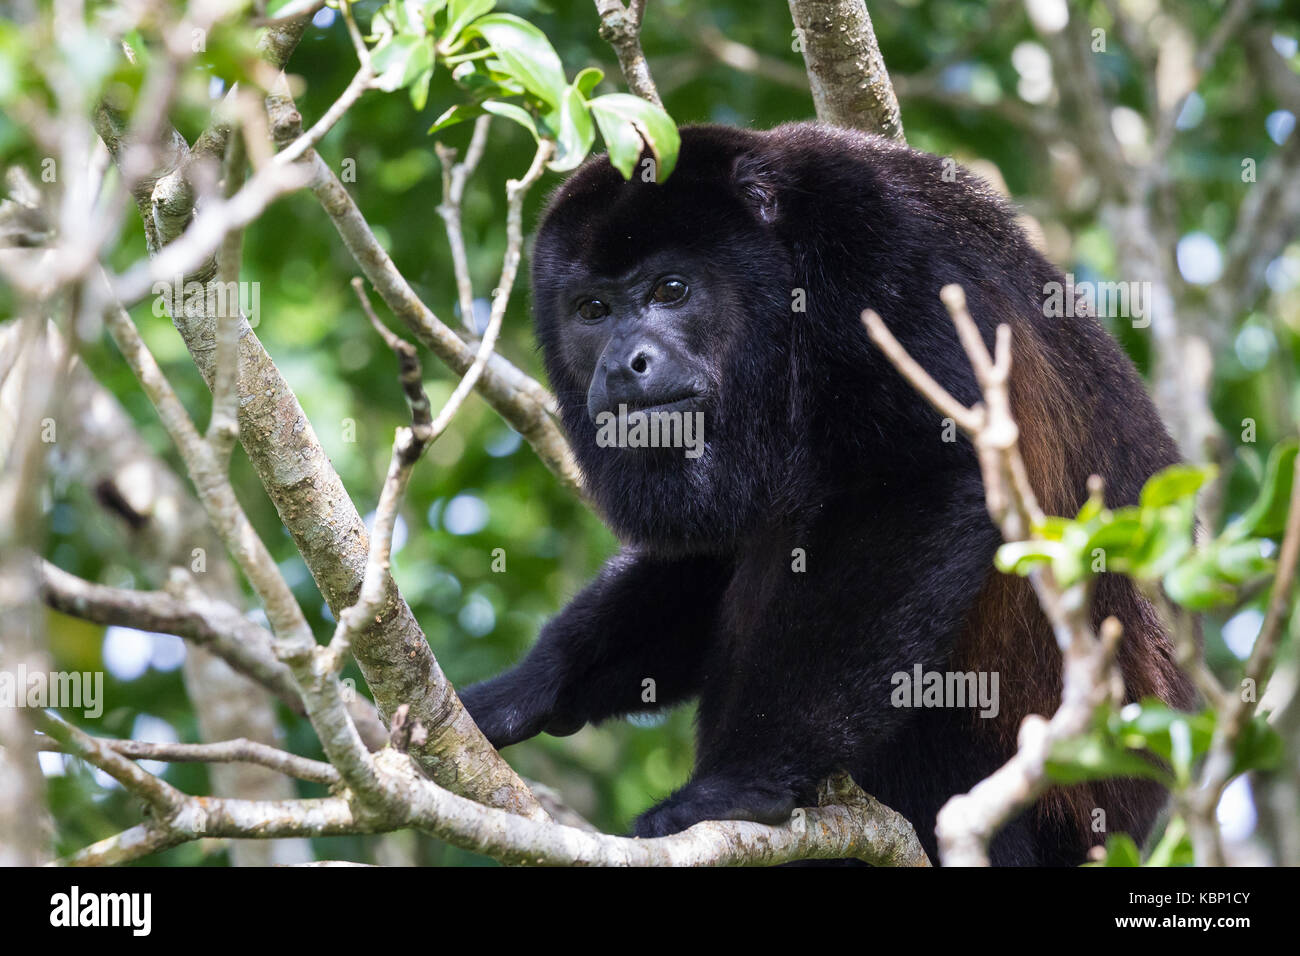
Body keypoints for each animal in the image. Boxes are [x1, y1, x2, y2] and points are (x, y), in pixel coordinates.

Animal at [458, 122, 1196, 865]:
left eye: (672, 289)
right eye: (592, 310)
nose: (622, 364)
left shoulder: (885, 259)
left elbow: (921, 483)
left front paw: (736, 784)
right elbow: (715, 557)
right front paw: (524, 690)